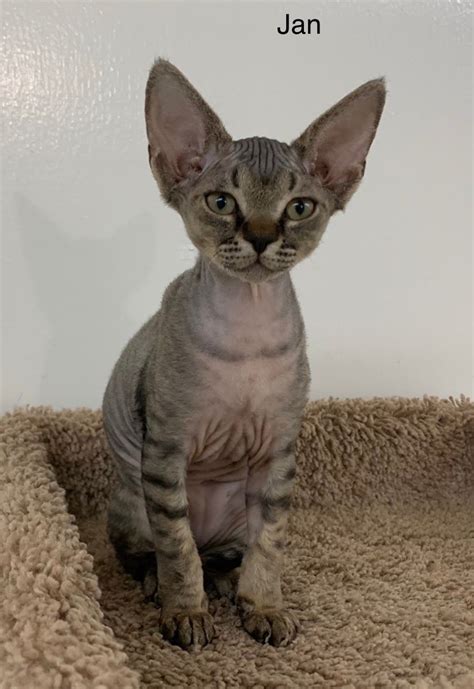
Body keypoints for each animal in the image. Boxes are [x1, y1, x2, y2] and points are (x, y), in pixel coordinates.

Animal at [102, 59, 386, 649]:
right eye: (221, 202)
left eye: (299, 208)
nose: (258, 237)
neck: (247, 334)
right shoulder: (166, 450)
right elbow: (177, 549)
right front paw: (187, 614)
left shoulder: (277, 453)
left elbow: (269, 544)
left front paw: (264, 606)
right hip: (136, 494)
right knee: (160, 551)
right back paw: (161, 587)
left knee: (221, 554)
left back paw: (225, 581)